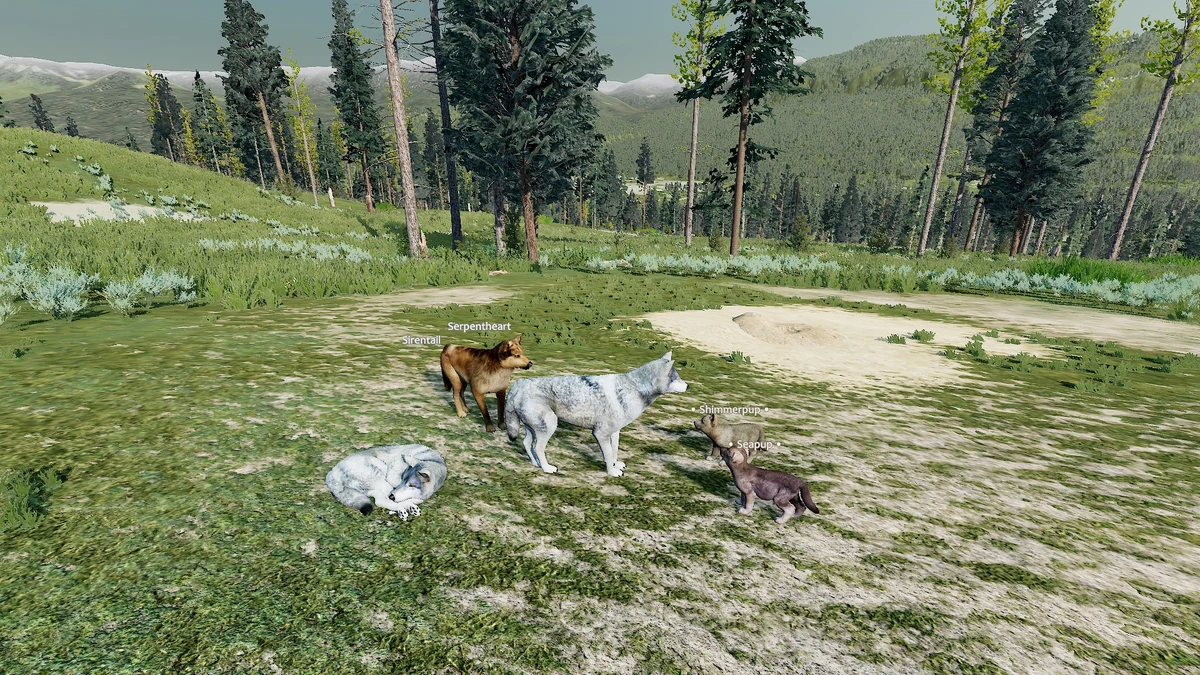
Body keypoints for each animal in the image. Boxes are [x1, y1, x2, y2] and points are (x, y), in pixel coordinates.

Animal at [504, 351, 688, 476]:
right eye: (676, 378)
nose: (688, 386)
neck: (635, 388)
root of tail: (518, 384)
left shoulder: (615, 432)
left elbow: (614, 451)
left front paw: (615, 465)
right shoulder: (600, 433)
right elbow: (608, 453)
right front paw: (612, 472)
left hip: (533, 429)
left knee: (527, 444)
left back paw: (535, 464)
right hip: (549, 426)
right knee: (537, 447)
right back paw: (547, 468)